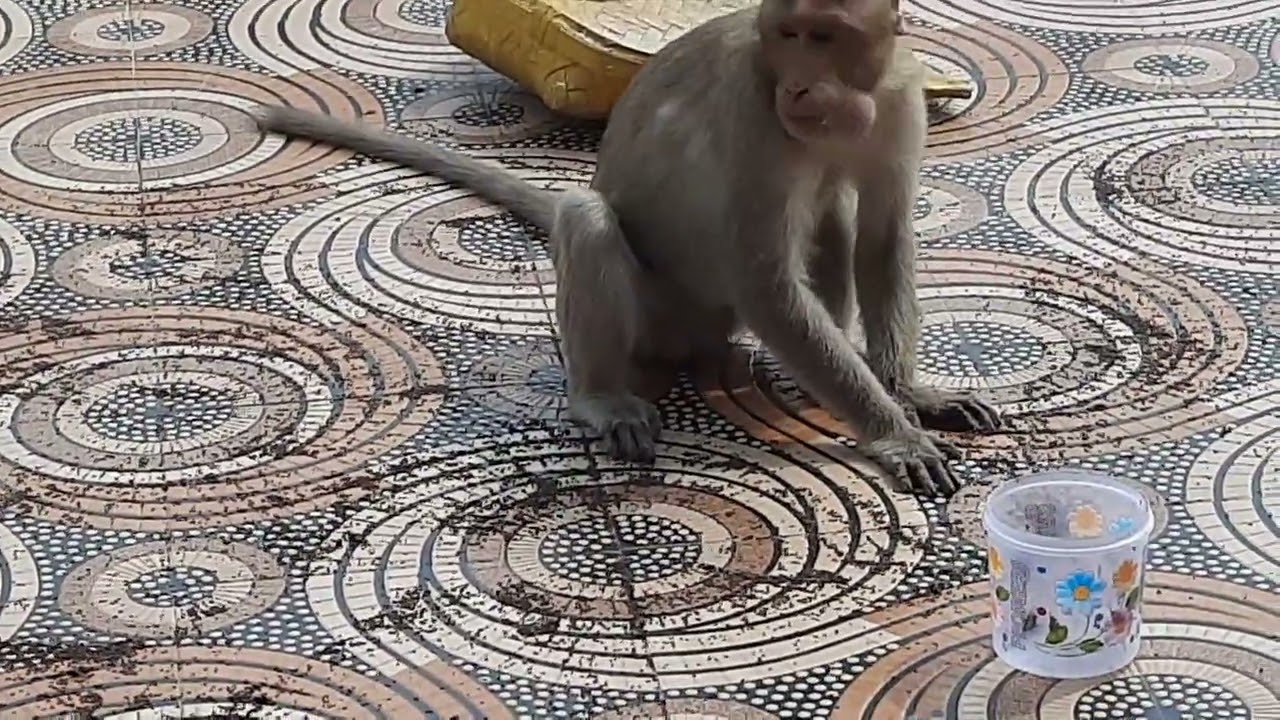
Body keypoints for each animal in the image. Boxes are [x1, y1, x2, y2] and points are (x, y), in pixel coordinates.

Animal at [252, 0, 1002, 497]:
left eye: (823, 36)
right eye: (789, 36)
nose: (797, 83)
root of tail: (695, 337)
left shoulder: (899, 96)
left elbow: (882, 237)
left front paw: (908, 393)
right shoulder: (755, 112)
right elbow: (766, 283)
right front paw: (892, 431)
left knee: (832, 212)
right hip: (658, 313)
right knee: (589, 220)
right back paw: (601, 397)